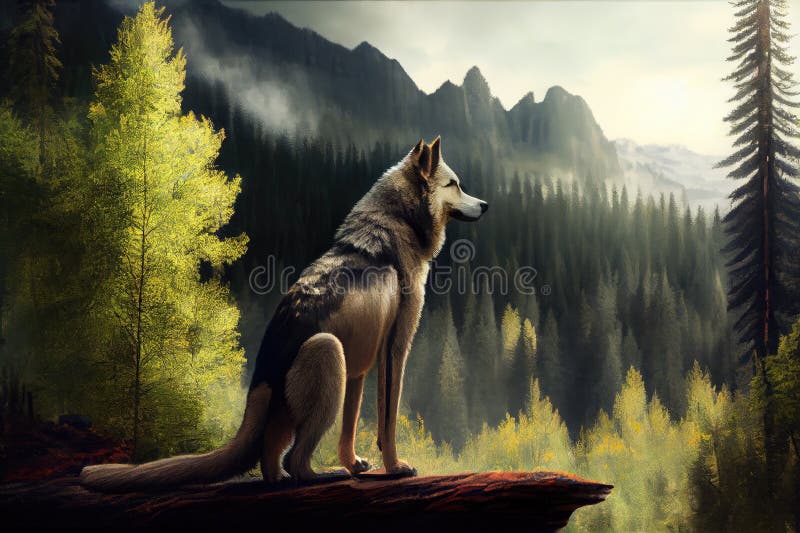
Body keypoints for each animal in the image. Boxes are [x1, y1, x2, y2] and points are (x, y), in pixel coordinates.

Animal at [80, 136, 487, 491]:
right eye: (454, 185)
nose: (485, 205)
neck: (398, 225)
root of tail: (260, 382)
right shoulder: (394, 350)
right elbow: (386, 423)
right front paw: (394, 468)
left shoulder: (358, 367)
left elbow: (350, 427)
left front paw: (355, 463)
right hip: (328, 351)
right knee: (295, 462)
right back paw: (325, 475)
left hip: (330, 376)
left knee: (271, 464)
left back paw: (296, 476)